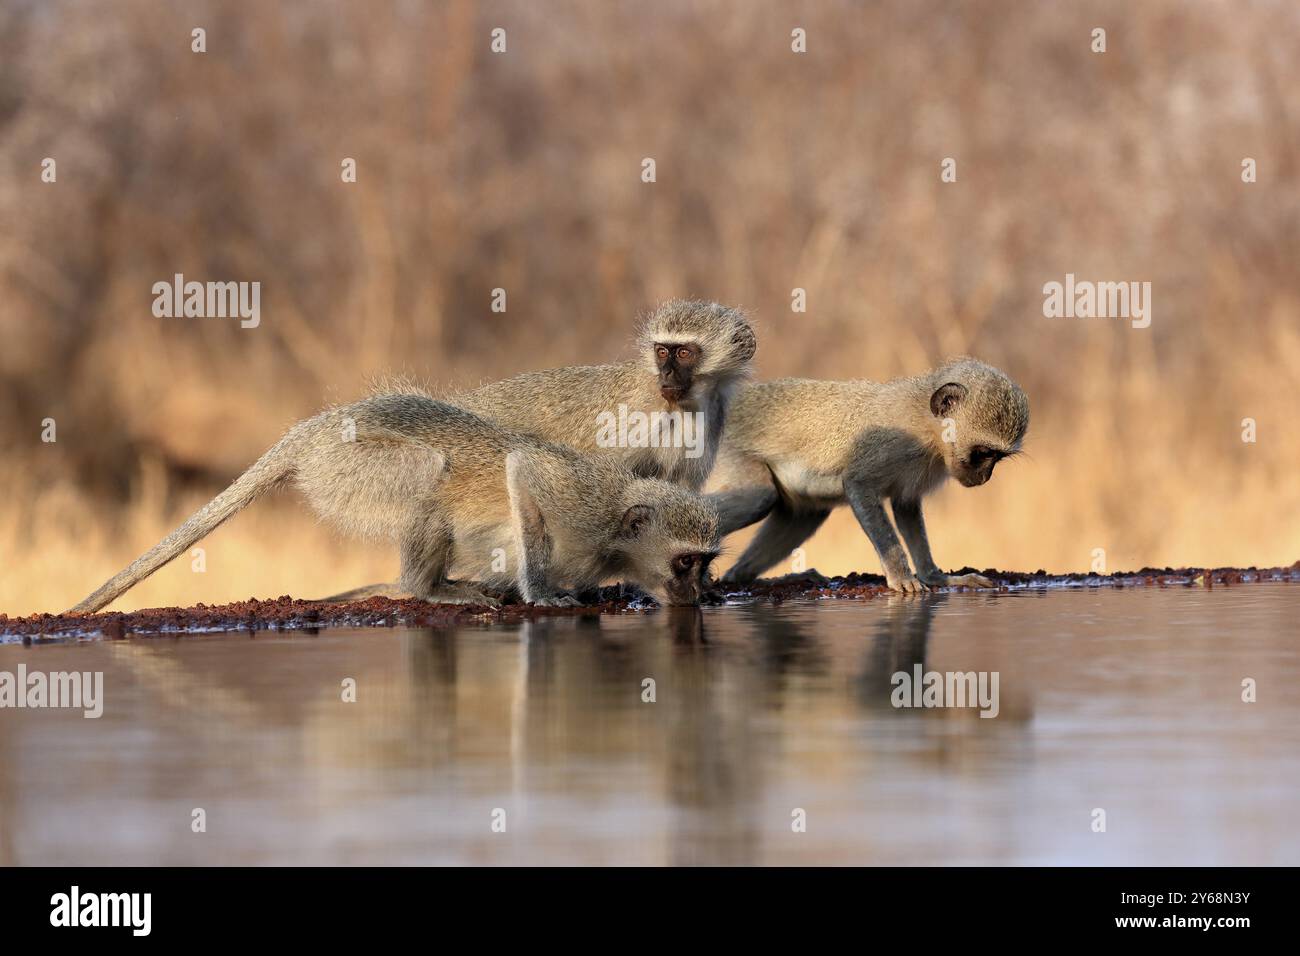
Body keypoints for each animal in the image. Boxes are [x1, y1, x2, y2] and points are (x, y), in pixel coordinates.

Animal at [67, 392, 721, 614]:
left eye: (703, 564)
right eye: (685, 563)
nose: (696, 596)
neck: (614, 538)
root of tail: (315, 428)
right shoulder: (580, 503)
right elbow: (524, 469)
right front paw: (540, 593)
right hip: (347, 467)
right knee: (427, 475)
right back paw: (425, 589)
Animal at [706, 357, 1029, 593]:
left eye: (997, 457)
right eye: (983, 454)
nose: (984, 478)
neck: (926, 424)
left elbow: (905, 507)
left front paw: (935, 577)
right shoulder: (890, 445)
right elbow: (859, 486)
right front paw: (902, 578)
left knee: (807, 513)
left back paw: (749, 577)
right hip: (728, 453)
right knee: (758, 497)